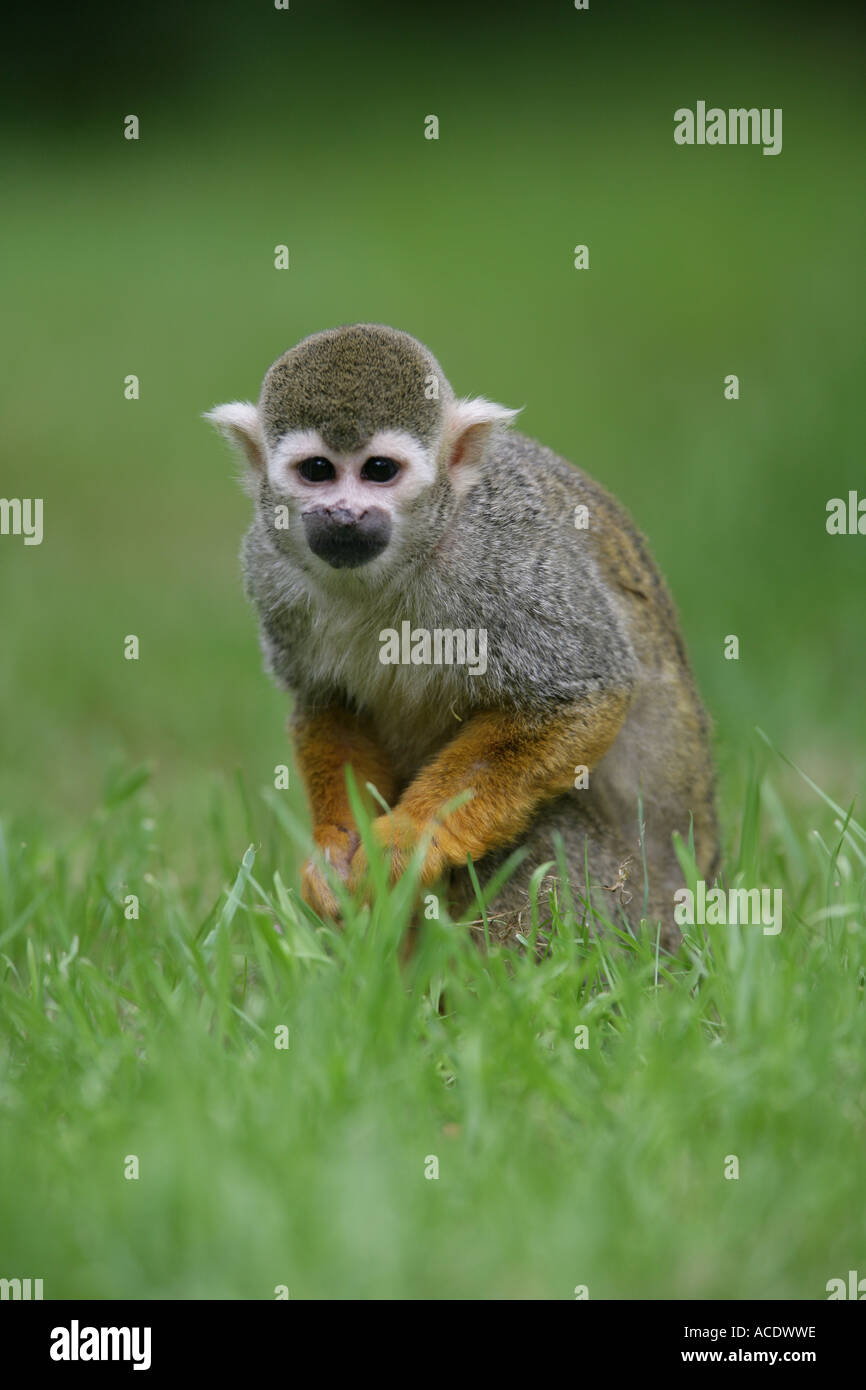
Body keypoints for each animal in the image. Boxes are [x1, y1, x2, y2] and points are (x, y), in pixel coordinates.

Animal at [206, 323, 719, 950]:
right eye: (317, 471)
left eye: (379, 470)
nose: (344, 514)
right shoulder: (267, 567)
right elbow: (329, 703)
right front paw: (335, 852)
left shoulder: (504, 556)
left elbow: (582, 692)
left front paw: (406, 839)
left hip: (639, 912)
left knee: (549, 831)